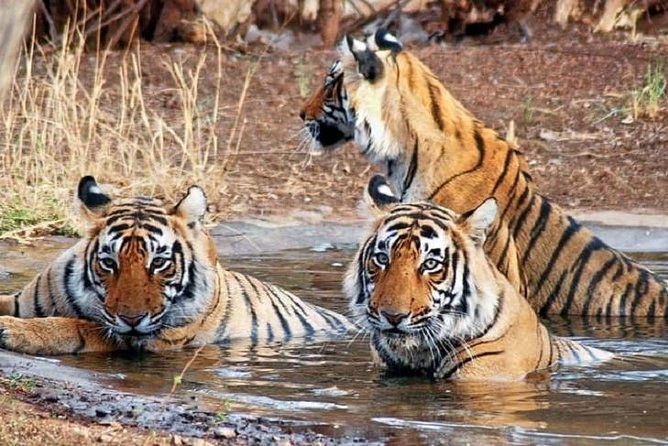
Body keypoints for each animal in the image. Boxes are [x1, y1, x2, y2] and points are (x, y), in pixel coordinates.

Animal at [0, 176, 352, 355]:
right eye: (109, 263)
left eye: (159, 263)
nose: (131, 319)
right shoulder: (21, 299)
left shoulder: (141, 338)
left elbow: (77, 326)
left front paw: (12, 329)